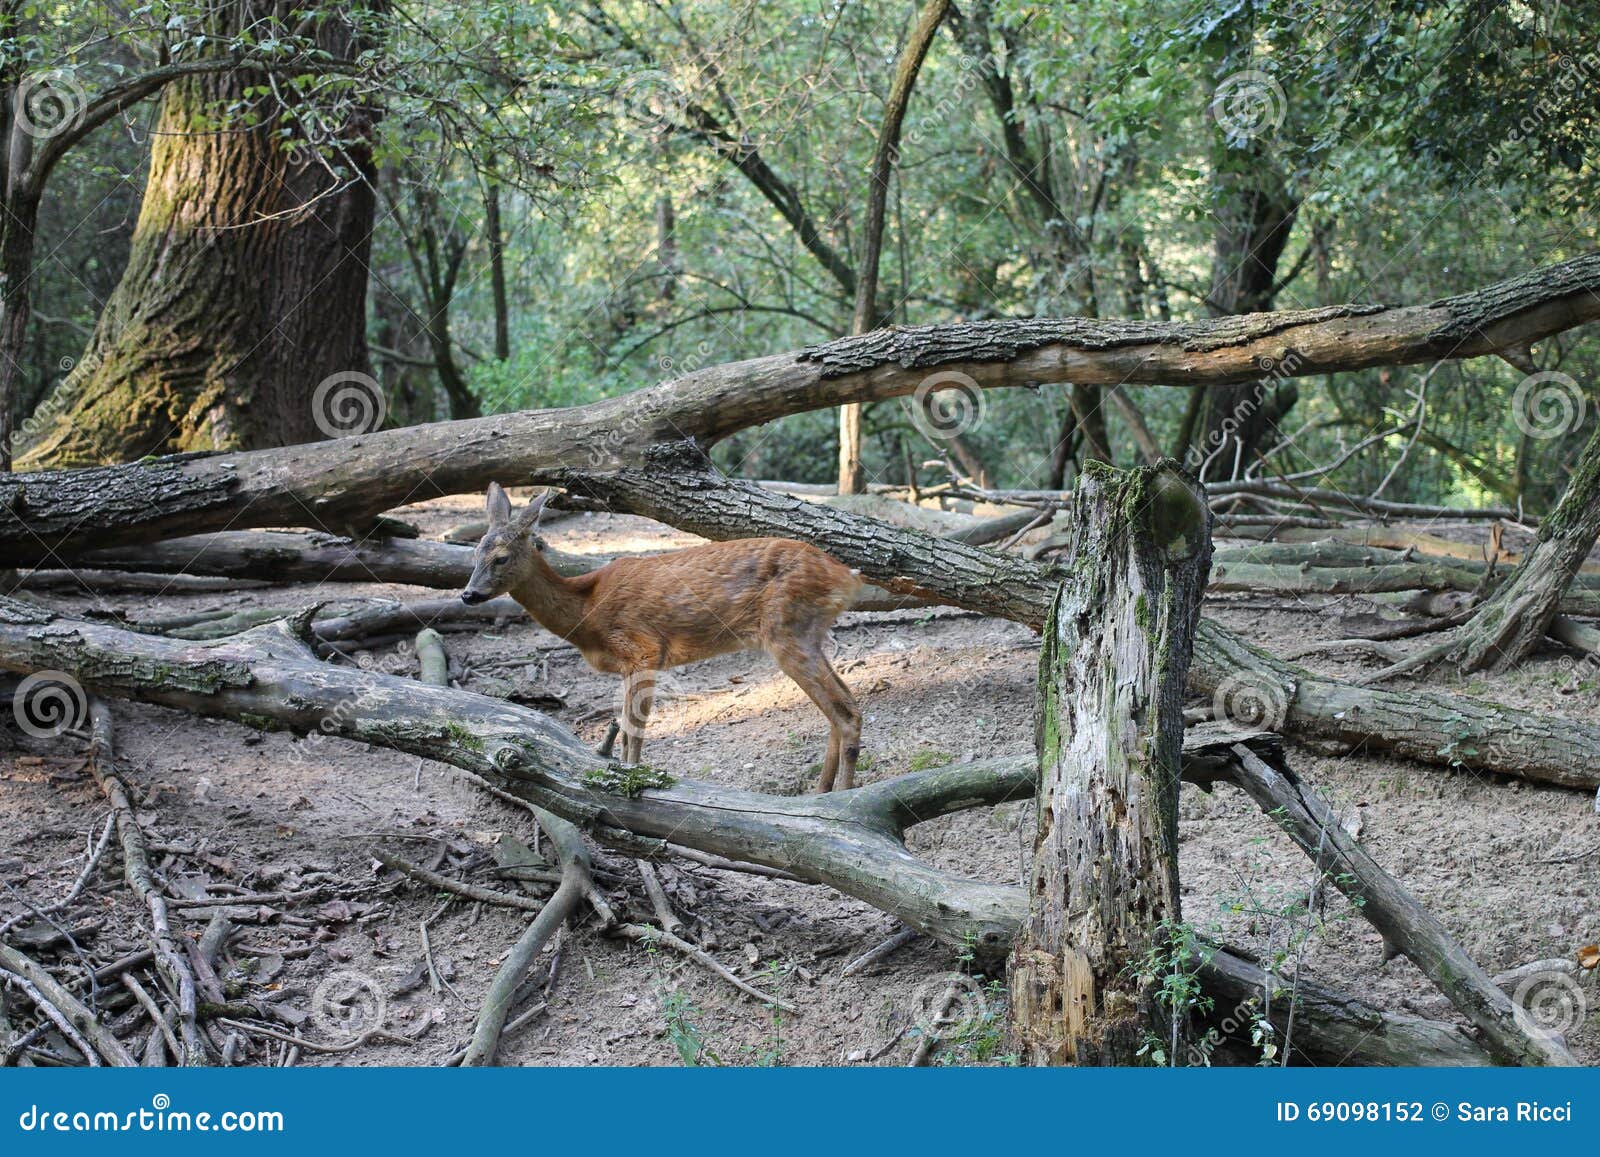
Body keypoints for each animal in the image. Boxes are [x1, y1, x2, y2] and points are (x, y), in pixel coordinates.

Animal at [461, 483, 866, 791]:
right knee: (839, 708)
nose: (468, 594)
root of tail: (847, 575)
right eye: (475, 553)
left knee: (846, 711)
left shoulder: (645, 649)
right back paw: (818, 793)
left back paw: (841, 799)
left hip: (787, 628)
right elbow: (625, 730)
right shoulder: (630, 663)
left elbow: (634, 731)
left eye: (501, 557)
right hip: (806, 632)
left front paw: (629, 780)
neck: (587, 613)